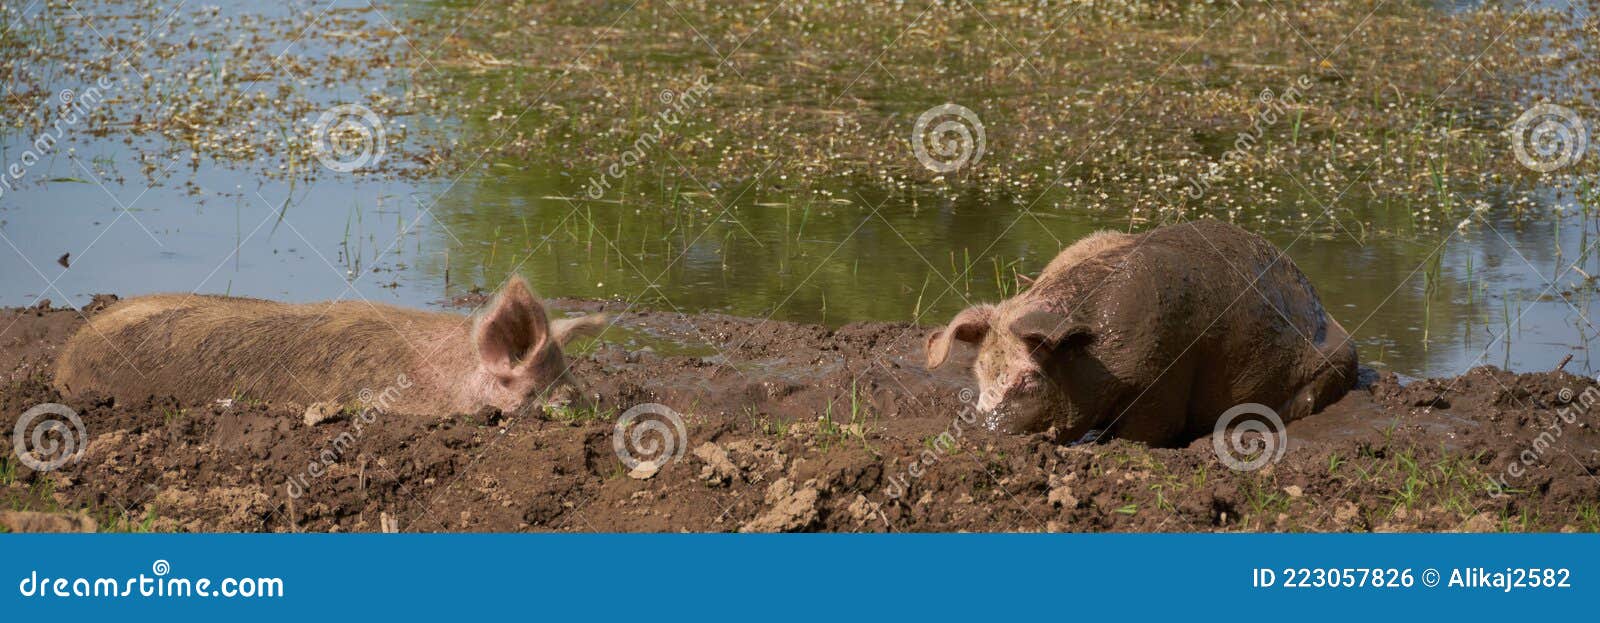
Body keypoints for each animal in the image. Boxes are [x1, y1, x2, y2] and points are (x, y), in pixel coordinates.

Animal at [925, 219, 1357, 446]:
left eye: (1030, 379)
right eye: (980, 373)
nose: (984, 434)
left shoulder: (1163, 376)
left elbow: (1148, 432)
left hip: (1336, 362)